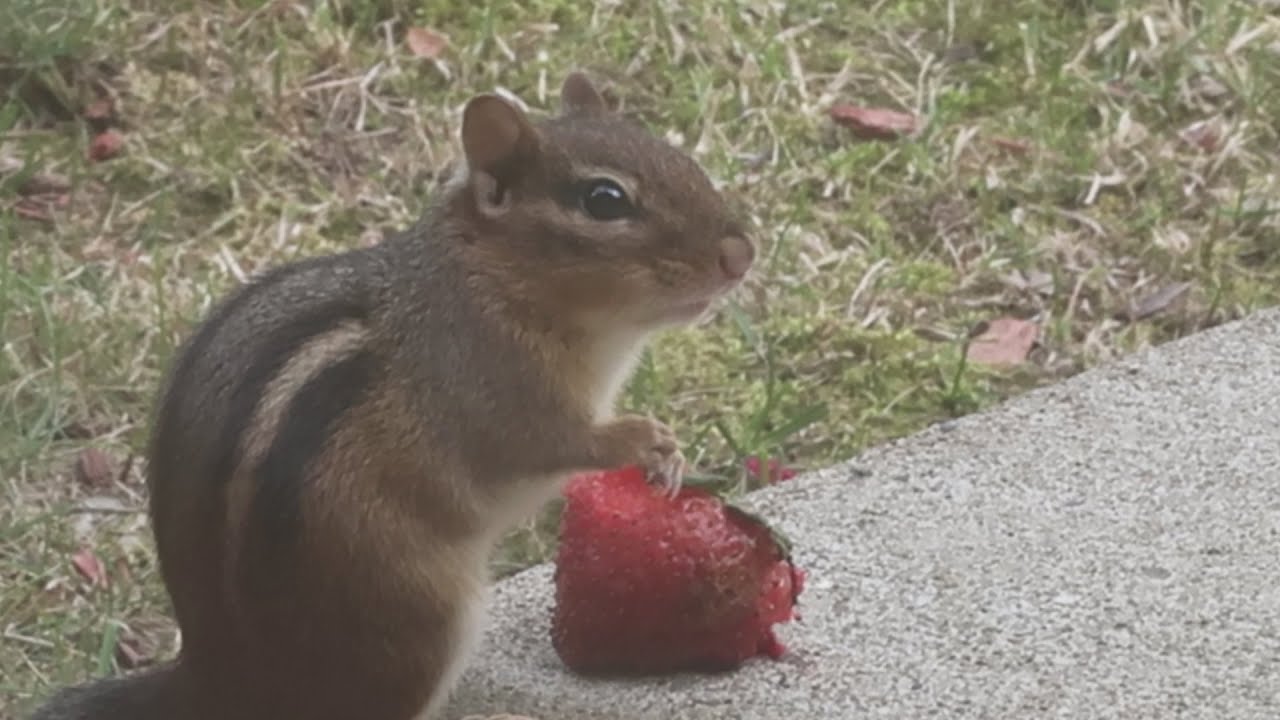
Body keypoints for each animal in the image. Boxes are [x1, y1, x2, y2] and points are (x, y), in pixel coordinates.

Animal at [30, 70, 755, 720]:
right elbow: (555, 441)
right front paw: (646, 440)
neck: (490, 279)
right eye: (604, 199)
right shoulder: (494, 388)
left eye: (675, 154)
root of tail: (215, 679)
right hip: (419, 629)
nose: (741, 254)